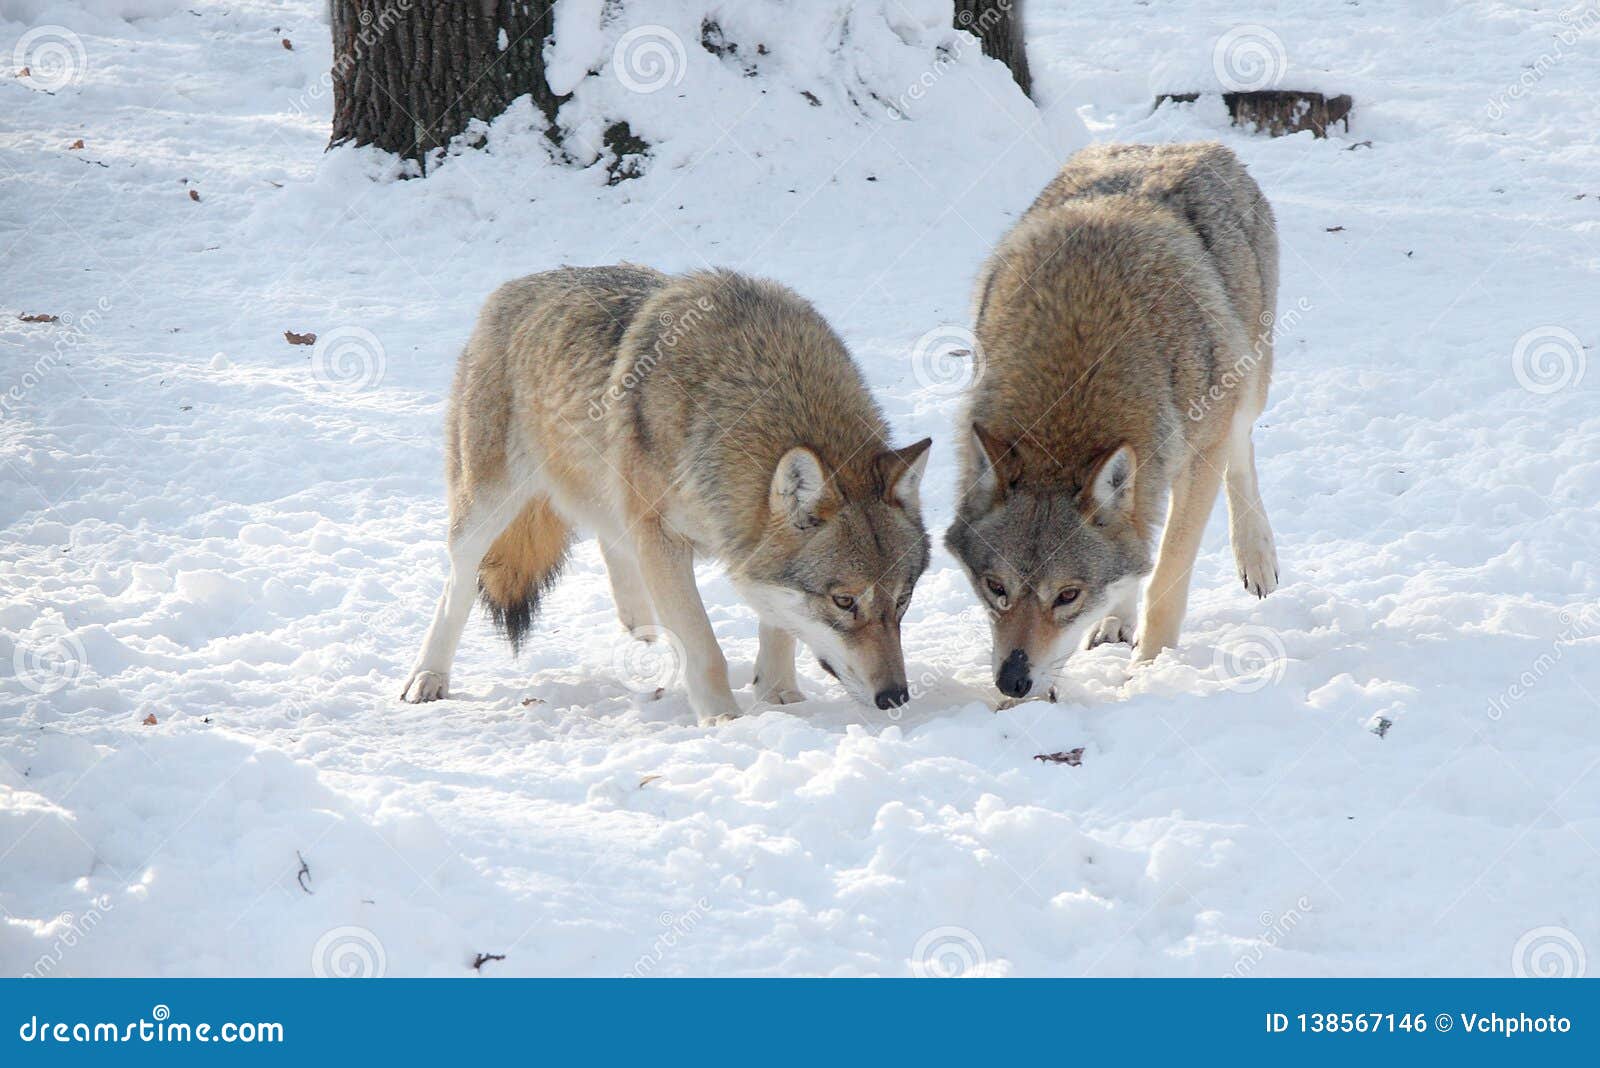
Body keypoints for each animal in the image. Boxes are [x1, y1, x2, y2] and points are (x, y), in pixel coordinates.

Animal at [400, 266, 932, 724]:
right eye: (844, 601)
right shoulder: (662, 537)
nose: (894, 696)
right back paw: (427, 677)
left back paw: (643, 639)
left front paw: (780, 695)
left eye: (903, 599)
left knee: (614, 551)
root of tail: (508, 290)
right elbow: (705, 646)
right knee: (458, 583)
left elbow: (779, 626)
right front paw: (723, 719)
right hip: (485, 510)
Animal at [945, 142, 1280, 699]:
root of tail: (1192, 146)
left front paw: (1150, 670)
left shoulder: (1201, 449)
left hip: (1246, 380)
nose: (1013, 682)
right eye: (996, 588)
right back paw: (1115, 620)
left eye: (1068, 595)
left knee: (1242, 450)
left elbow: (1166, 576)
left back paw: (1256, 558)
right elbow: (1137, 559)